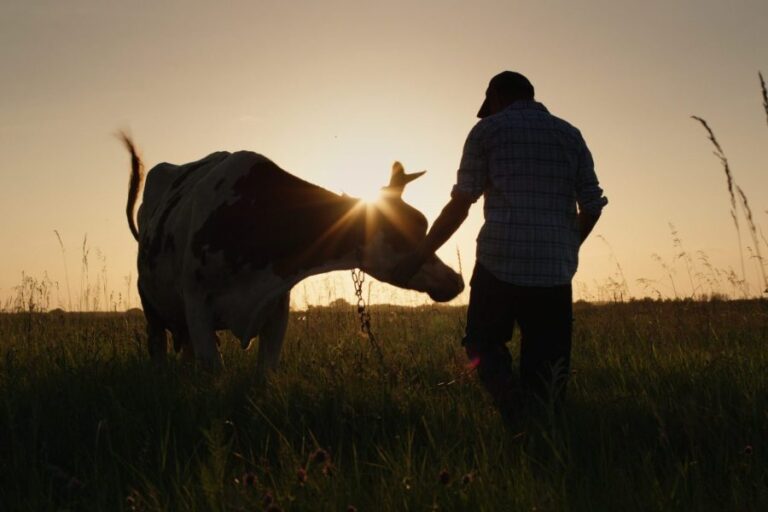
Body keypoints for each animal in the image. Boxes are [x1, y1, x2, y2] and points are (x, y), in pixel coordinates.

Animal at [121, 136, 464, 372]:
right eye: (401, 230)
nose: (456, 280)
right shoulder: (197, 306)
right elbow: (213, 368)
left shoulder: (276, 306)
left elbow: (266, 371)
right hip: (151, 305)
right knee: (157, 347)